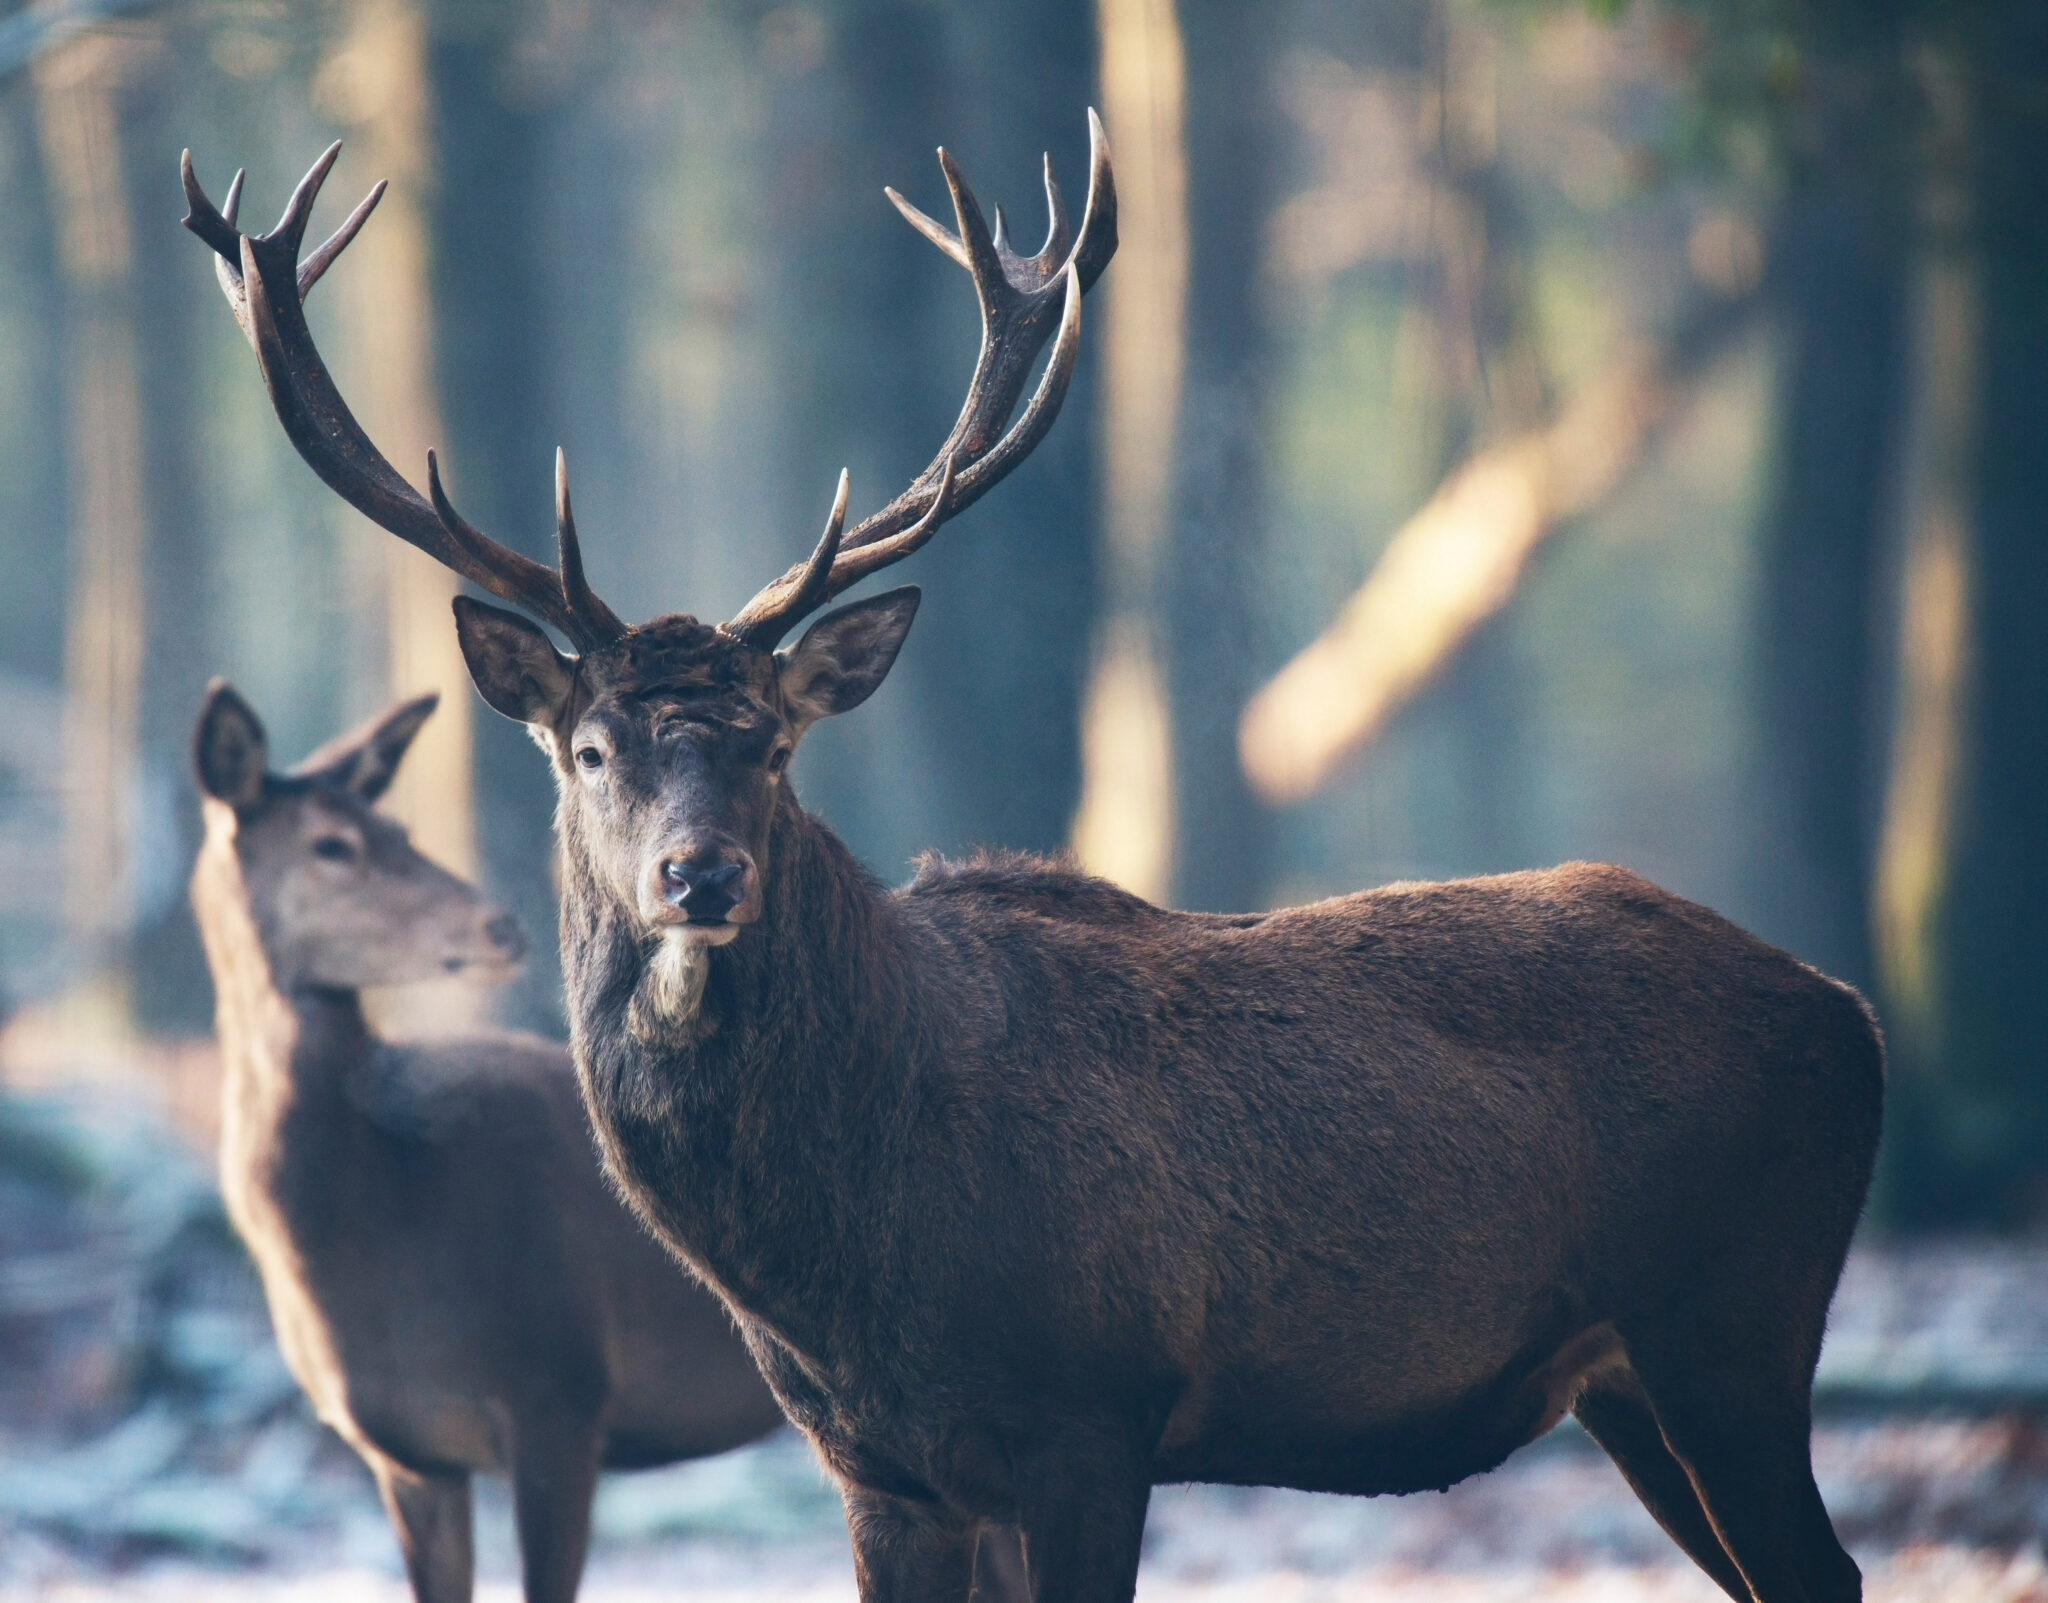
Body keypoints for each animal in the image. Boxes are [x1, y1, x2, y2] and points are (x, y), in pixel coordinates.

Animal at [185, 120, 1885, 1603]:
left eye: (774, 744)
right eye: (590, 748)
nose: (701, 876)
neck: (845, 1244)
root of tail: (1852, 1014)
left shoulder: (1097, 1410)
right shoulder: (880, 1463)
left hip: (1736, 1317)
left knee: (1824, 1564)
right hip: (1628, 1374)